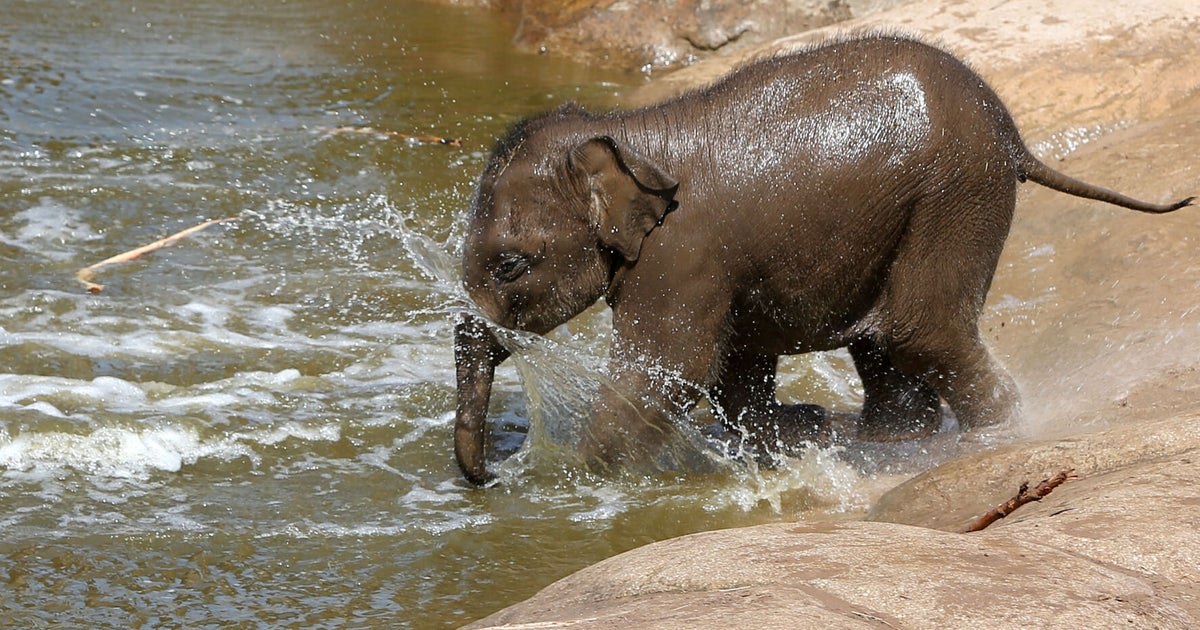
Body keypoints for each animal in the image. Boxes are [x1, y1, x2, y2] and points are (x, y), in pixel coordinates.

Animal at [452, 34, 1193, 485]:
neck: (625, 129)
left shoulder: (681, 254)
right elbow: (736, 362)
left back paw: (996, 436)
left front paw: (581, 480)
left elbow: (669, 367)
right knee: (885, 340)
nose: (489, 476)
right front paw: (787, 437)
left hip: (956, 194)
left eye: (510, 266)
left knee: (921, 329)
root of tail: (1016, 137)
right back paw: (883, 440)